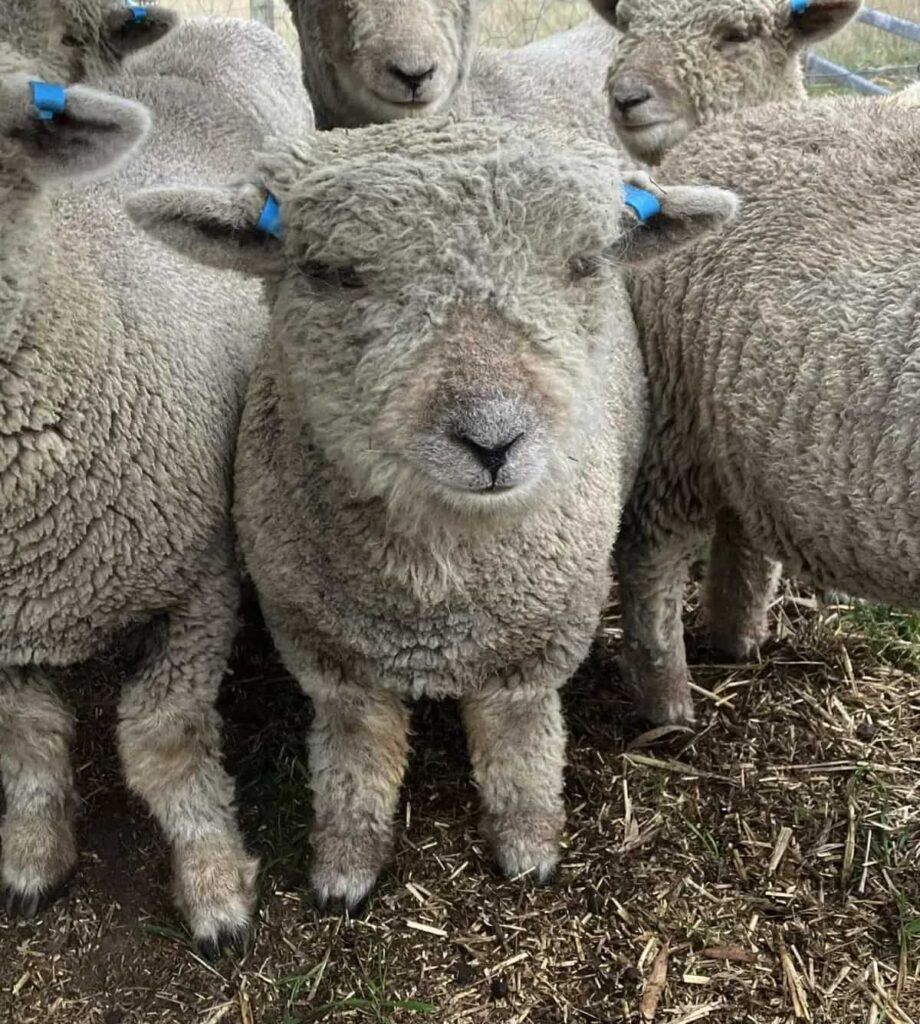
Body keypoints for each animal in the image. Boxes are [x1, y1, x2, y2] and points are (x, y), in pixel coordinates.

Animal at [0, 14, 311, 955]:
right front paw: (32, 854)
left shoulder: (200, 580)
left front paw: (215, 885)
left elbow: (161, 739)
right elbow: (28, 738)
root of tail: (225, 20)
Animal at [127, 116, 737, 911]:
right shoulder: (328, 655)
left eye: (583, 264)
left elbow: (521, 746)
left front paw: (529, 846)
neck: (435, 587)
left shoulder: (537, 648)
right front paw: (345, 866)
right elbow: (357, 758)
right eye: (334, 272)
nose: (493, 439)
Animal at [613, 96, 920, 726]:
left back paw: (739, 640)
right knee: (651, 555)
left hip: (751, 419)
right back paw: (669, 707)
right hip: (676, 419)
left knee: (744, 527)